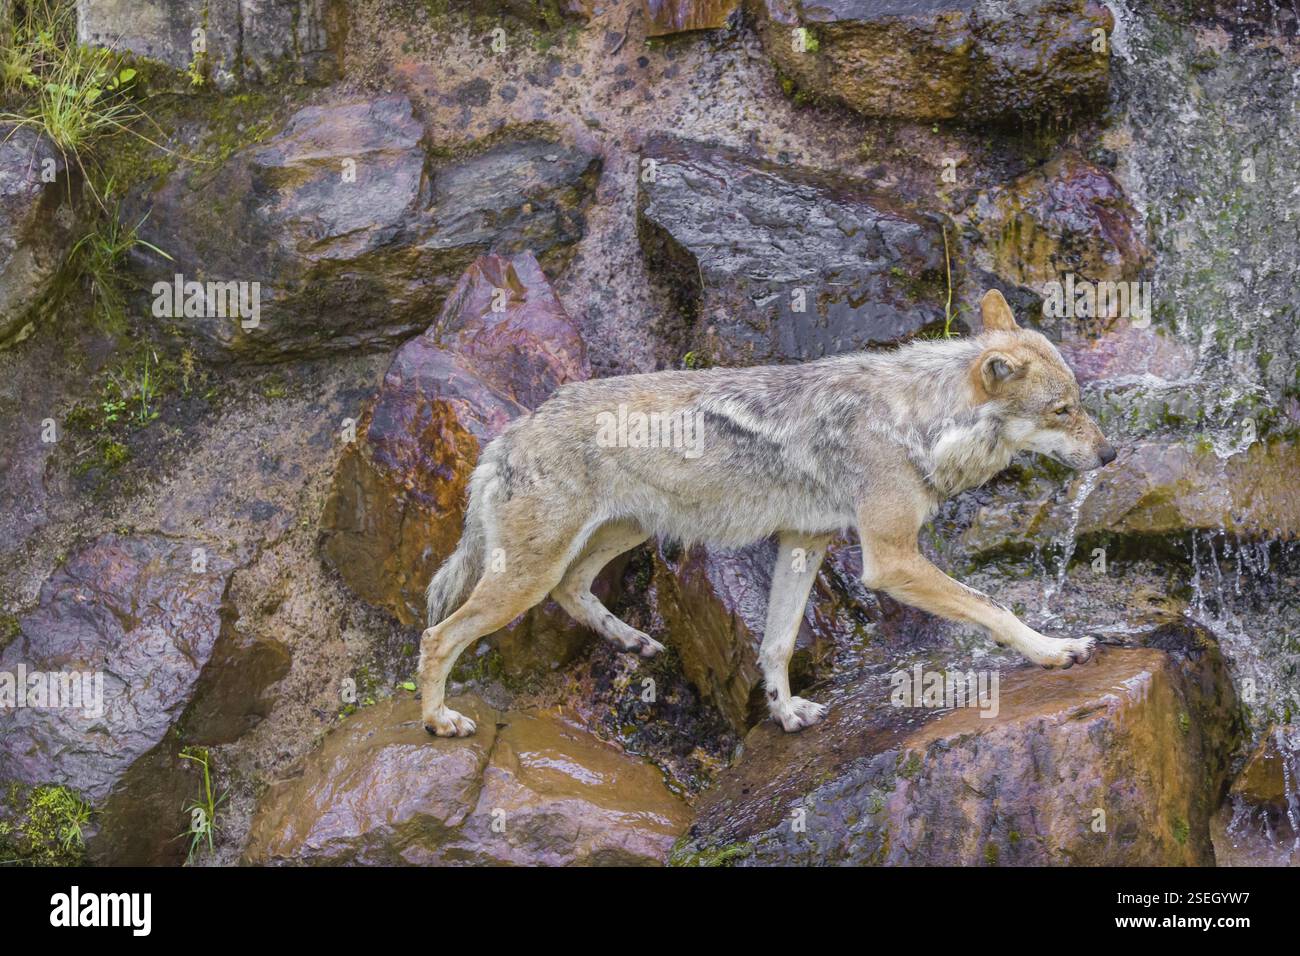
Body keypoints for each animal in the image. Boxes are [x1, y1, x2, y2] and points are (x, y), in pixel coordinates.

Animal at [416, 290, 1116, 737]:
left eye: (1079, 403)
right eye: (1062, 411)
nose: (1111, 453)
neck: (919, 420)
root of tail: (509, 434)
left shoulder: (804, 540)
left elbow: (776, 643)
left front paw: (783, 713)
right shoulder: (890, 560)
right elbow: (992, 607)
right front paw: (1055, 650)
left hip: (620, 534)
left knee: (571, 587)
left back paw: (634, 641)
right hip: (525, 575)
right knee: (438, 636)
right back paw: (439, 721)